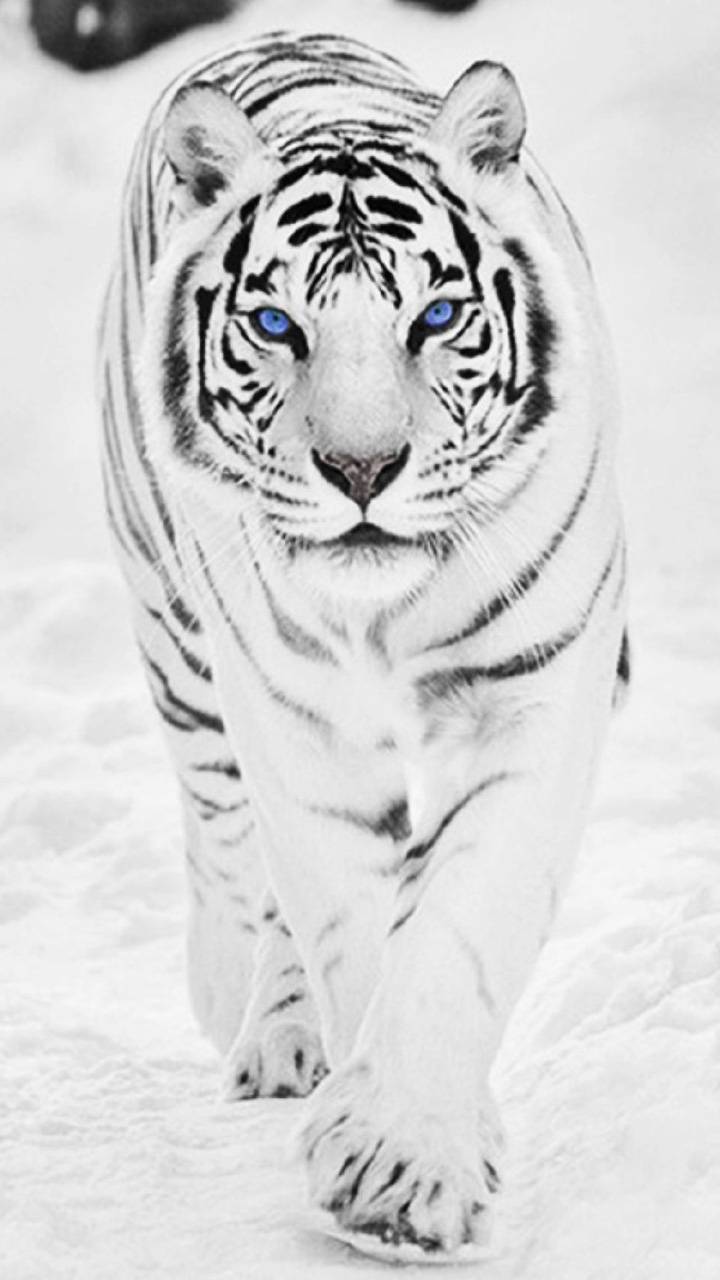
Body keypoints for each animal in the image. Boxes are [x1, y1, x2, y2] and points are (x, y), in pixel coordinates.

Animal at [98, 31, 628, 1260]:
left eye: (433, 319)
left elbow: (460, 924)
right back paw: (251, 1014)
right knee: (227, 838)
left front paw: (407, 1165)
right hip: (178, 639)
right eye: (276, 326)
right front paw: (398, 1152)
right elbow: (345, 915)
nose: (361, 470)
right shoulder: (299, 729)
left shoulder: (534, 694)